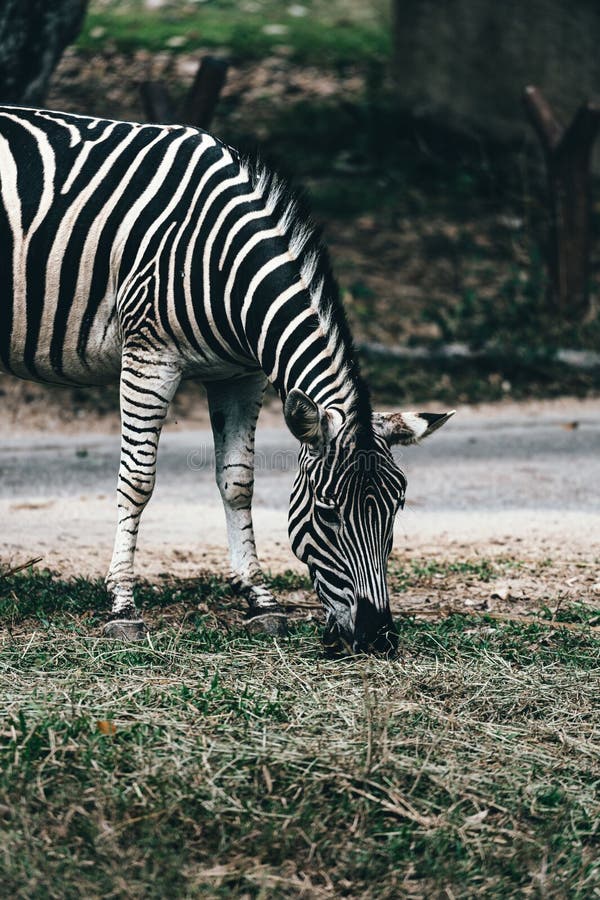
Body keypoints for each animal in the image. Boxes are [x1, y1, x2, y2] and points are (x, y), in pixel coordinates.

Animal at [0, 105, 453, 654]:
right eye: (327, 512)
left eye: (396, 508)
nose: (377, 638)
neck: (223, 262)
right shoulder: (149, 355)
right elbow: (137, 480)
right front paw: (123, 604)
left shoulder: (242, 375)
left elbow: (238, 481)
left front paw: (260, 598)